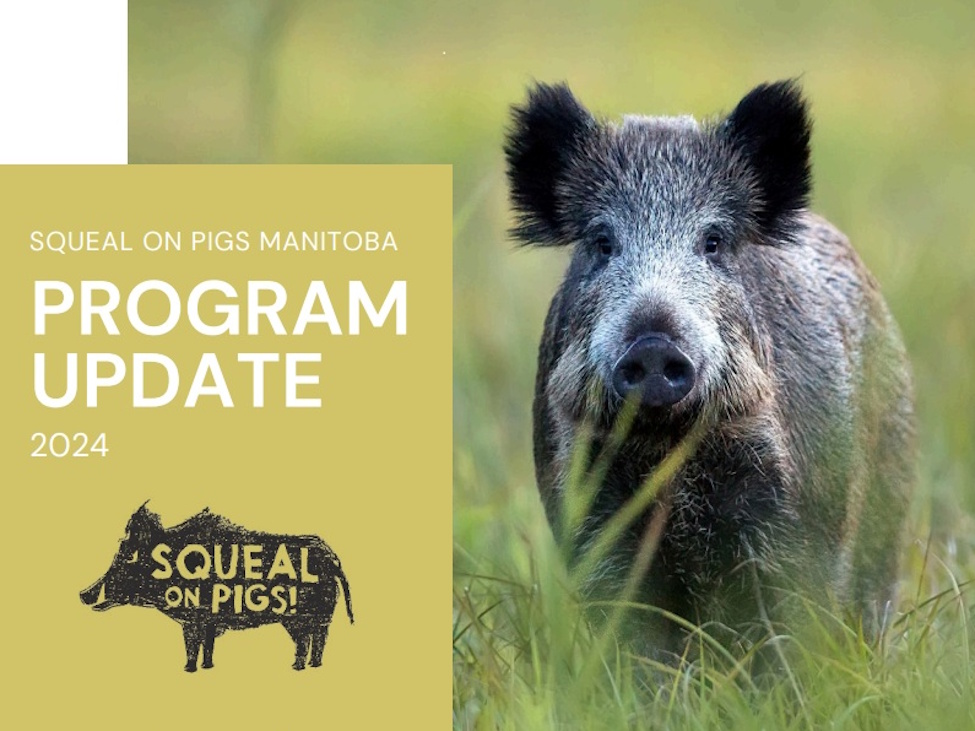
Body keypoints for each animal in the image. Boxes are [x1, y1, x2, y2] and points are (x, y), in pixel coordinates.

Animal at [80, 503, 353, 671]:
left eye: (125, 561)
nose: (82, 594)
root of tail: (333, 558)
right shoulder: (209, 622)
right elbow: (207, 645)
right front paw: (206, 667)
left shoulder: (192, 618)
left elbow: (192, 644)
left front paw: (188, 669)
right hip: (319, 617)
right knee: (317, 639)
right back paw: (312, 666)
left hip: (301, 616)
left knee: (308, 640)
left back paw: (298, 667)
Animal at [505, 80, 915, 658]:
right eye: (602, 243)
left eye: (713, 242)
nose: (654, 344)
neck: (668, 452)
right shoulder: (591, 509)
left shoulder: (789, 514)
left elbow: (786, 617)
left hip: (890, 494)